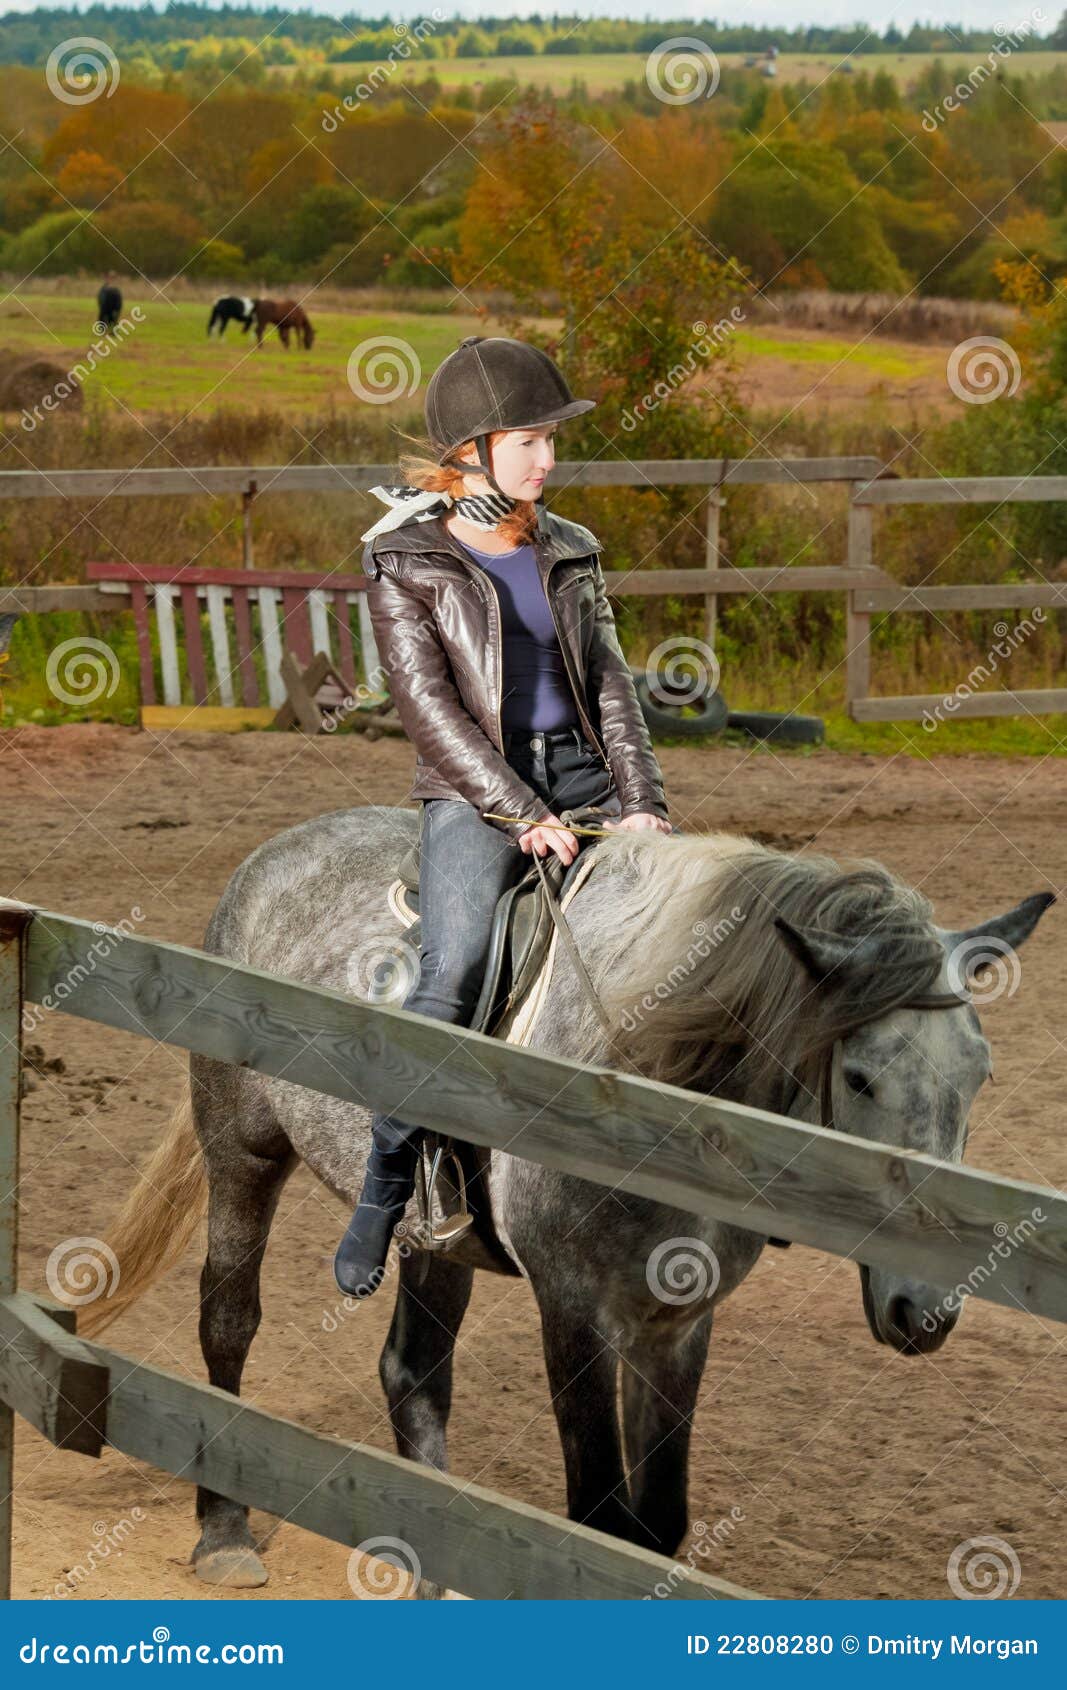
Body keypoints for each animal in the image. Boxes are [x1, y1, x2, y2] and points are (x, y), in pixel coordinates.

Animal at [75, 809, 1053, 1594]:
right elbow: (597, 1517)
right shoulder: (575, 1309)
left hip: (434, 1237)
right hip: (242, 1153)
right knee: (228, 1322)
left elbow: (654, 1526)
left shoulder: (675, 1320)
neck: (650, 1082)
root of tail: (271, 859)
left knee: (412, 1376)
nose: (925, 1310)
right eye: (856, 1079)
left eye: (978, 1075)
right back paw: (224, 1534)